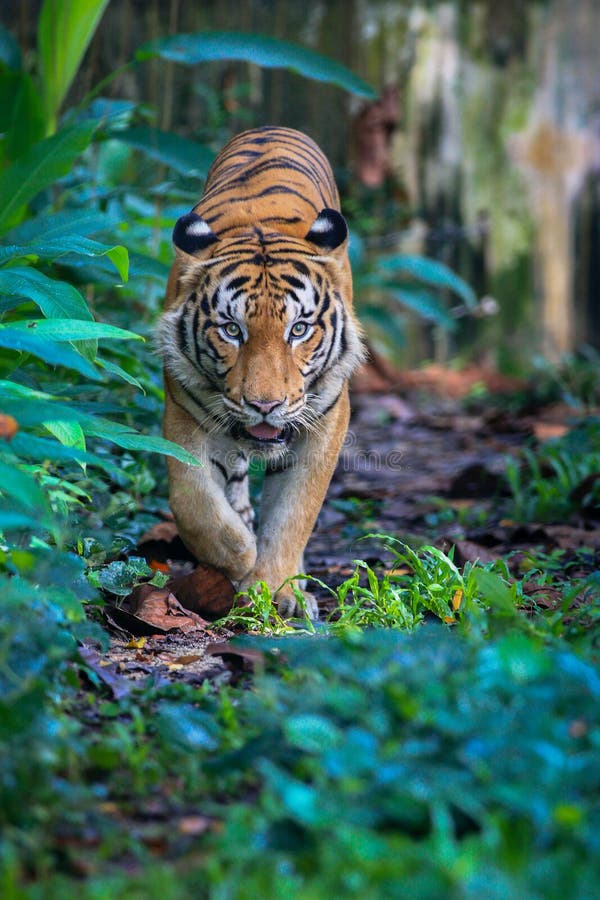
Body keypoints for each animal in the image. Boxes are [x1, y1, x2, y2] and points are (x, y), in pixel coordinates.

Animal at [157, 126, 364, 618]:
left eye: (299, 329)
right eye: (232, 330)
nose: (265, 405)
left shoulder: (325, 421)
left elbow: (294, 513)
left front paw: (275, 589)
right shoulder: (183, 414)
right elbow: (194, 501)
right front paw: (240, 555)